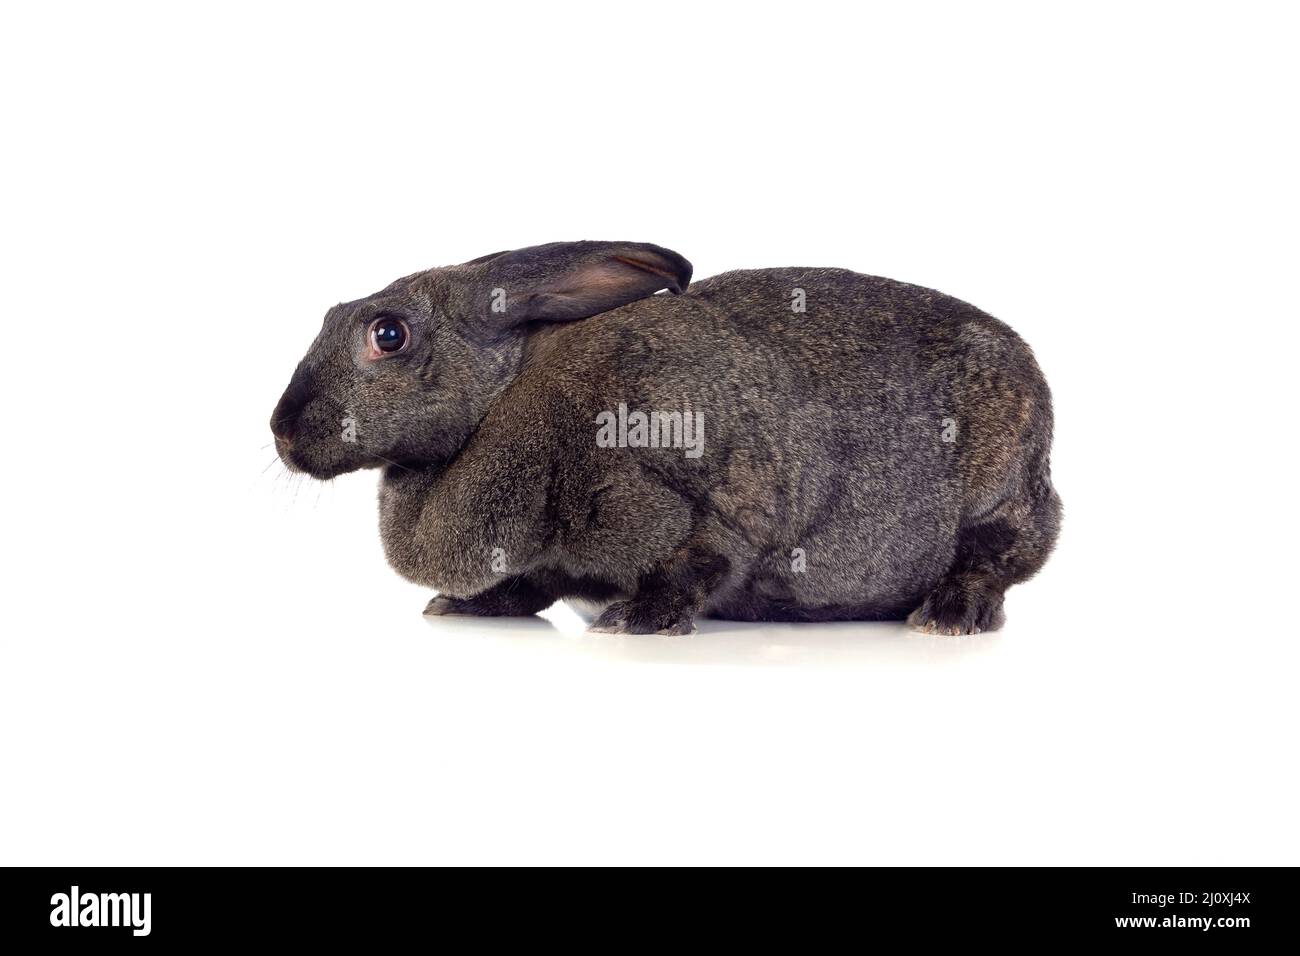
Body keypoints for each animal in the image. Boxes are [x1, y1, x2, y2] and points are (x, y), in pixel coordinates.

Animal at [271, 241, 1061, 635]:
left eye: (388, 335)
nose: (280, 432)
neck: (501, 400)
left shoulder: (707, 498)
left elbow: (695, 563)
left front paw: (636, 620)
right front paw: (461, 607)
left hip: (1001, 494)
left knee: (999, 559)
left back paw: (950, 615)